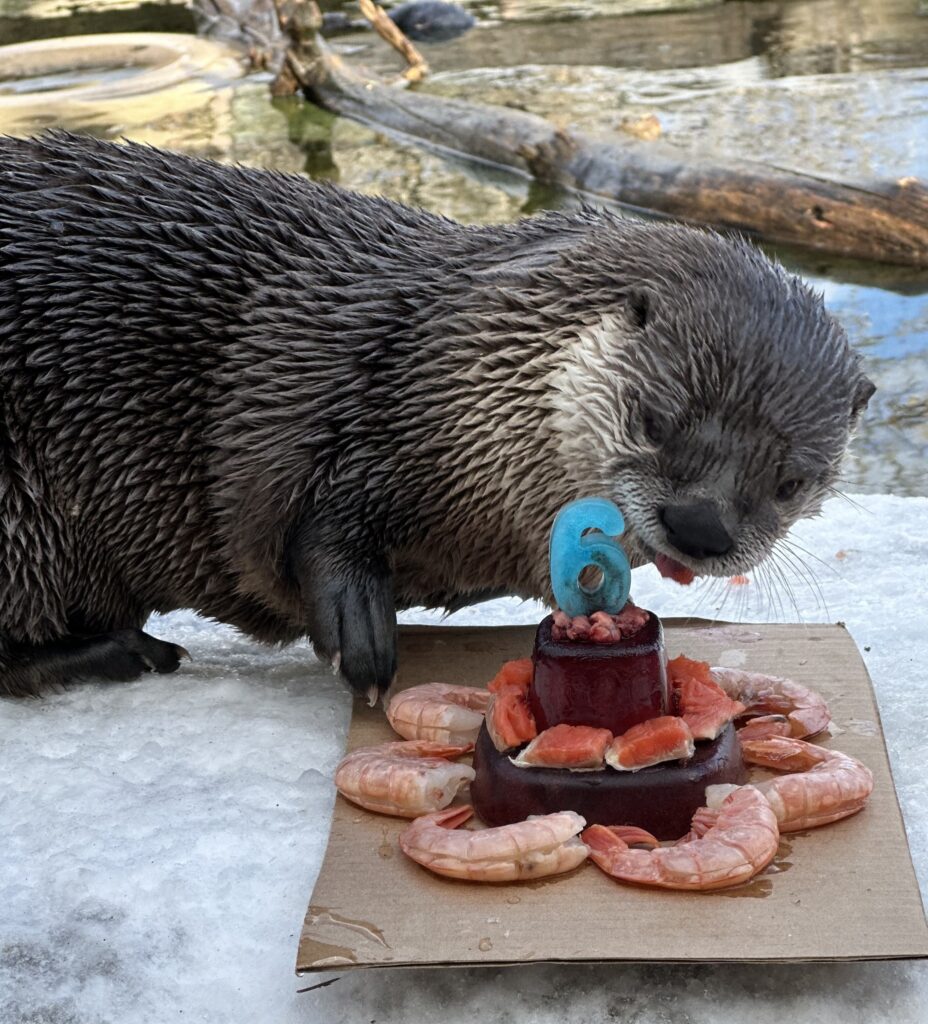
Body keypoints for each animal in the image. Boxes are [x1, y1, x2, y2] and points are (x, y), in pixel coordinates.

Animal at [0, 131, 873, 701]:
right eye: (656, 421)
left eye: (793, 480)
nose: (700, 527)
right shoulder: (339, 409)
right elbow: (316, 519)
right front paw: (360, 633)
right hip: (19, 509)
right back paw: (124, 653)